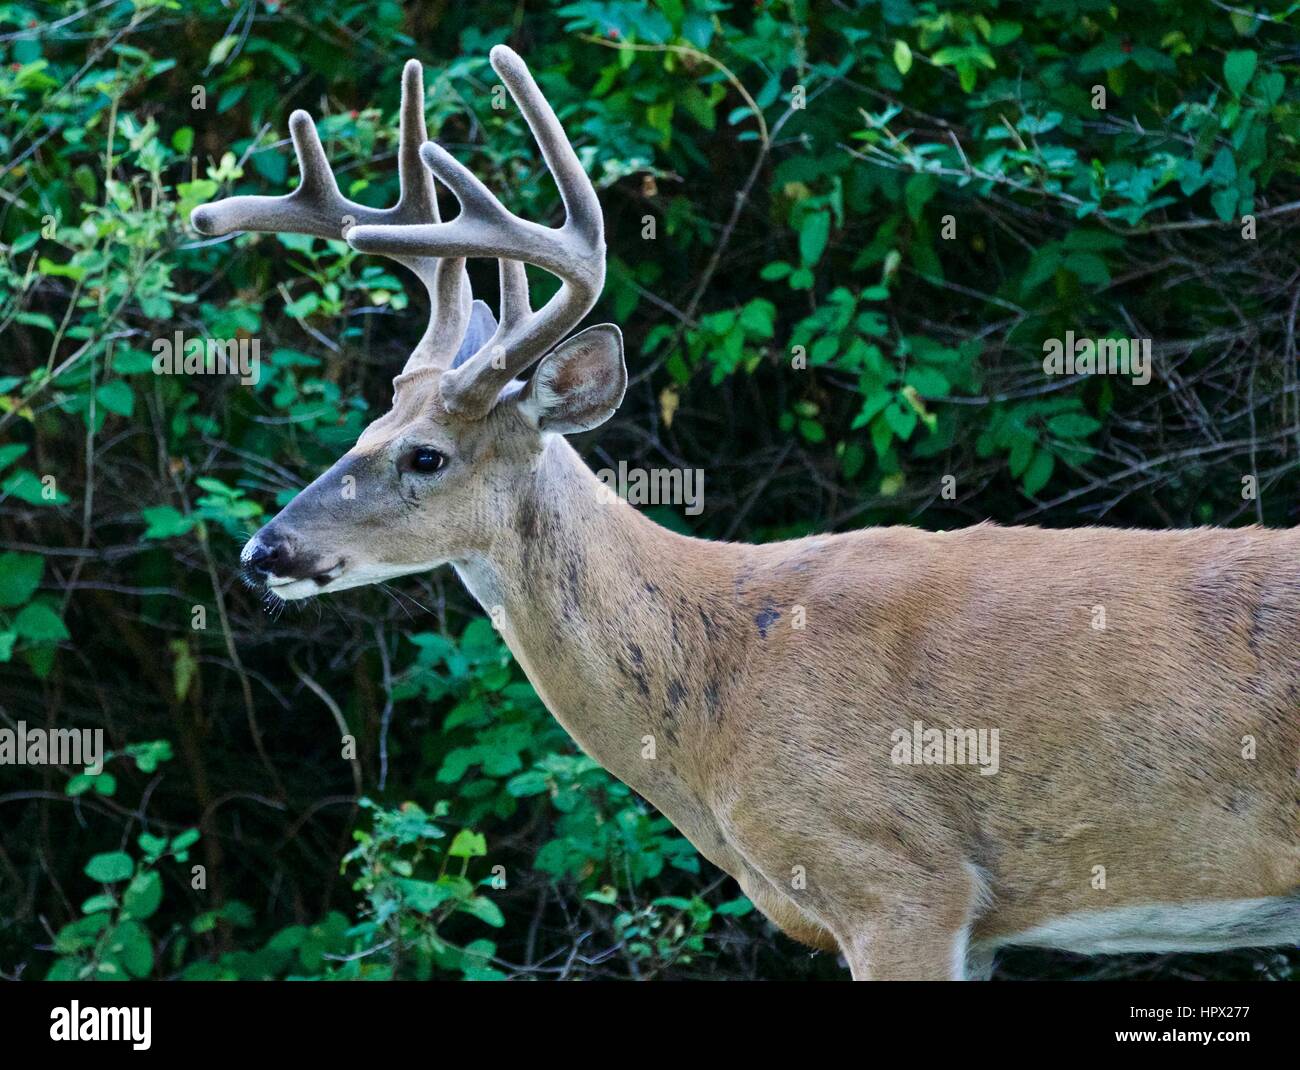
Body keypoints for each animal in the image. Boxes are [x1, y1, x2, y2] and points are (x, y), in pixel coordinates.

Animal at [192, 46, 1300, 980]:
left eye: (425, 454)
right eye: (367, 424)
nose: (263, 548)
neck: (718, 684)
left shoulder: (901, 879)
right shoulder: (972, 921)